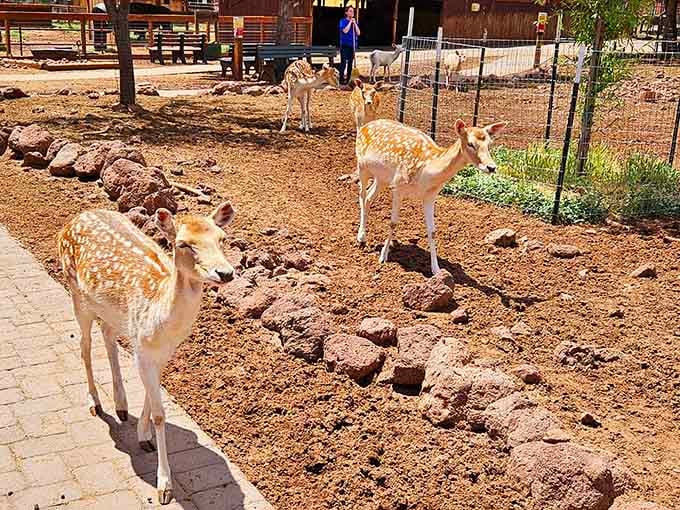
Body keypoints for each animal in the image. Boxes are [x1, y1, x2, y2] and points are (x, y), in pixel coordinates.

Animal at [57, 203, 236, 505]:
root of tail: (70, 222)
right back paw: (95, 402)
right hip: (76, 294)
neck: (162, 323)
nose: (225, 273)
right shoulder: (141, 348)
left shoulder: (162, 351)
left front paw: (143, 436)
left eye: (222, 238)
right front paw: (164, 486)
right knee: (84, 345)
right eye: (183, 244)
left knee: (107, 334)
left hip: (109, 310)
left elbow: (154, 401)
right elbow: (160, 413)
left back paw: (120, 405)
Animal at [355, 118, 506, 275]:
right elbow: (393, 223)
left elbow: (432, 231)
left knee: (369, 197)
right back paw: (361, 238)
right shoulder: (398, 187)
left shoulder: (430, 196)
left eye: (489, 143)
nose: (491, 167)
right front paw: (383, 257)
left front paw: (436, 269)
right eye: (470, 143)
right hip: (362, 166)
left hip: (382, 178)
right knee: (362, 195)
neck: (426, 172)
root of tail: (365, 125)